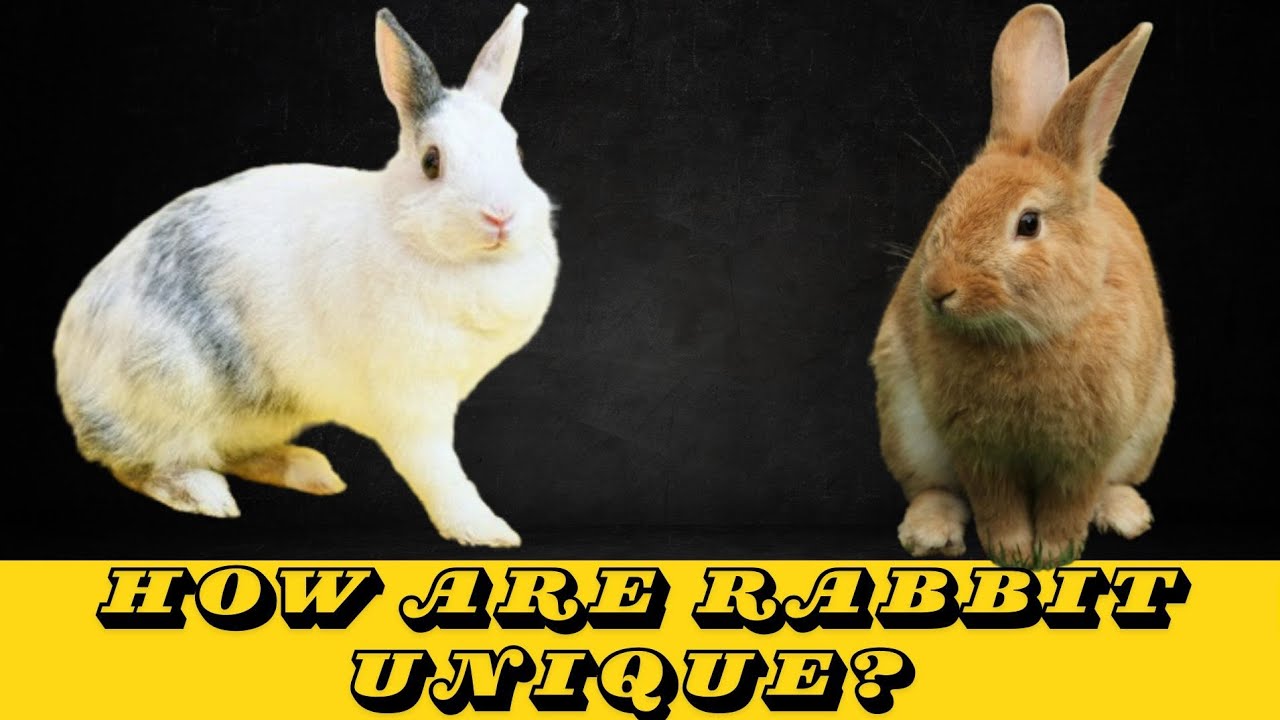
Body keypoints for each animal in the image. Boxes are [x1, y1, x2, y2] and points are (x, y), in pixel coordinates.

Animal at [52, 4, 557, 548]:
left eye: (518, 153)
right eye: (431, 162)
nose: (500, 216)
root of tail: (69, 371)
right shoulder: (410, 400)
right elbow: (437, 470)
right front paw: (485, 531)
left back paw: (310, 472)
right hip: (168, 397)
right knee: (136, 465)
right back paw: (207, 496)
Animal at [870, 4, 1173, 568]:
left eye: (1028, 224)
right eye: (947, 206)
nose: (939, 290)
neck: (1026, 337)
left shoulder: (1087, 451)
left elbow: (1070, 503)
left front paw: (1054, 553)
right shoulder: (978, 450)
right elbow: (995, 502)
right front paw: (1011, 552)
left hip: (1146, 432)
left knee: (1114, 484)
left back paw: (1127, 517)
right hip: (906, 428)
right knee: (934, 489)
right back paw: (930, 537)